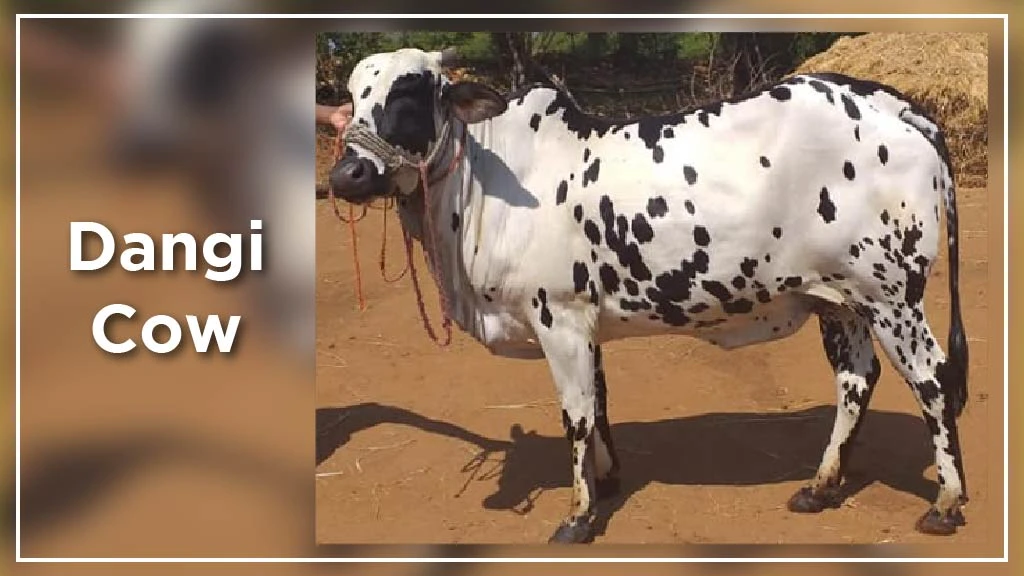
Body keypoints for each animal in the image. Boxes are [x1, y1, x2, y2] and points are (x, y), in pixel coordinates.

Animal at [328, 47, 970, 544]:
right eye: (354, 100)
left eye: (410, 96)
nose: (346, 176)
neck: (491, 179)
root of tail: (886, 101)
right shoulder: (585, 323)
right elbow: (600, 405)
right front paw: (608, 480)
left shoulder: (558, 317)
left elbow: (577, 415)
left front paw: (578, 516)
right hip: (840, 299)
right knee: (856, 381)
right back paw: (820, 486)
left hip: (892, 298)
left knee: (934, 382)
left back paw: (945, 503)